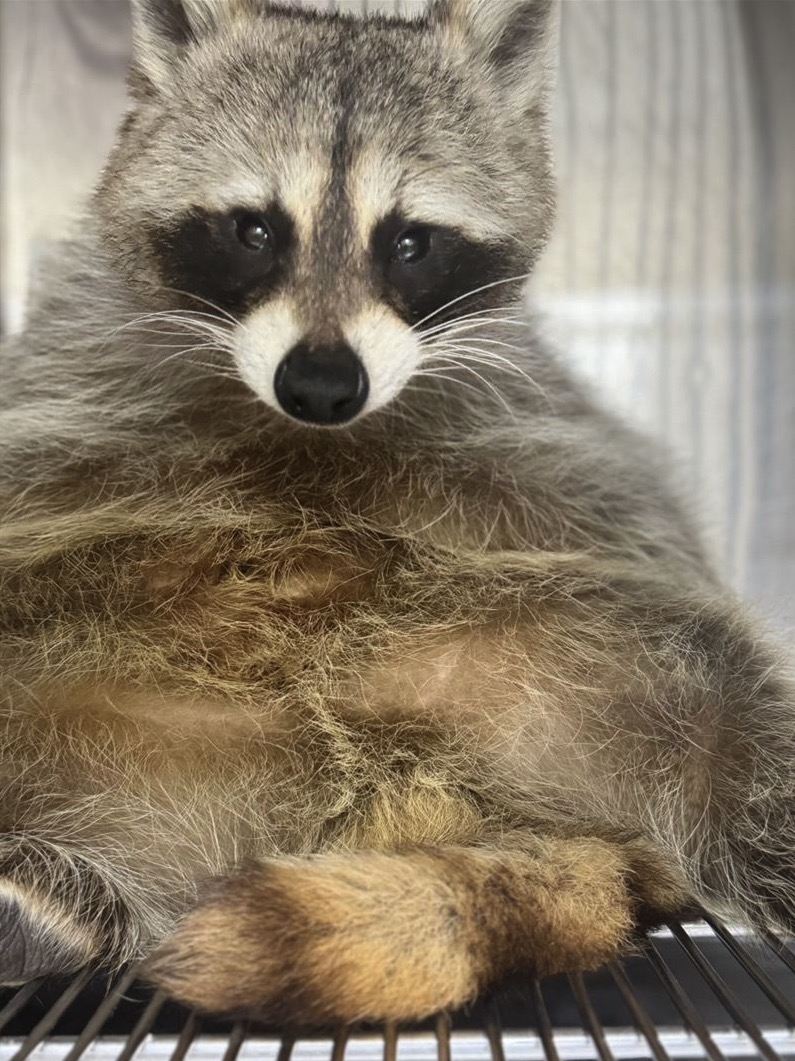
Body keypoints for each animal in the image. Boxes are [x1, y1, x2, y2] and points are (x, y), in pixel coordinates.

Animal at [0, 0, 793, 1026]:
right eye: (253, 229)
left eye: (409, 241)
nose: (321, 385)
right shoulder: (71, 362)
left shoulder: (537, 418)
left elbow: (632, 503)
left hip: (591, 677)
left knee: (737, 726)